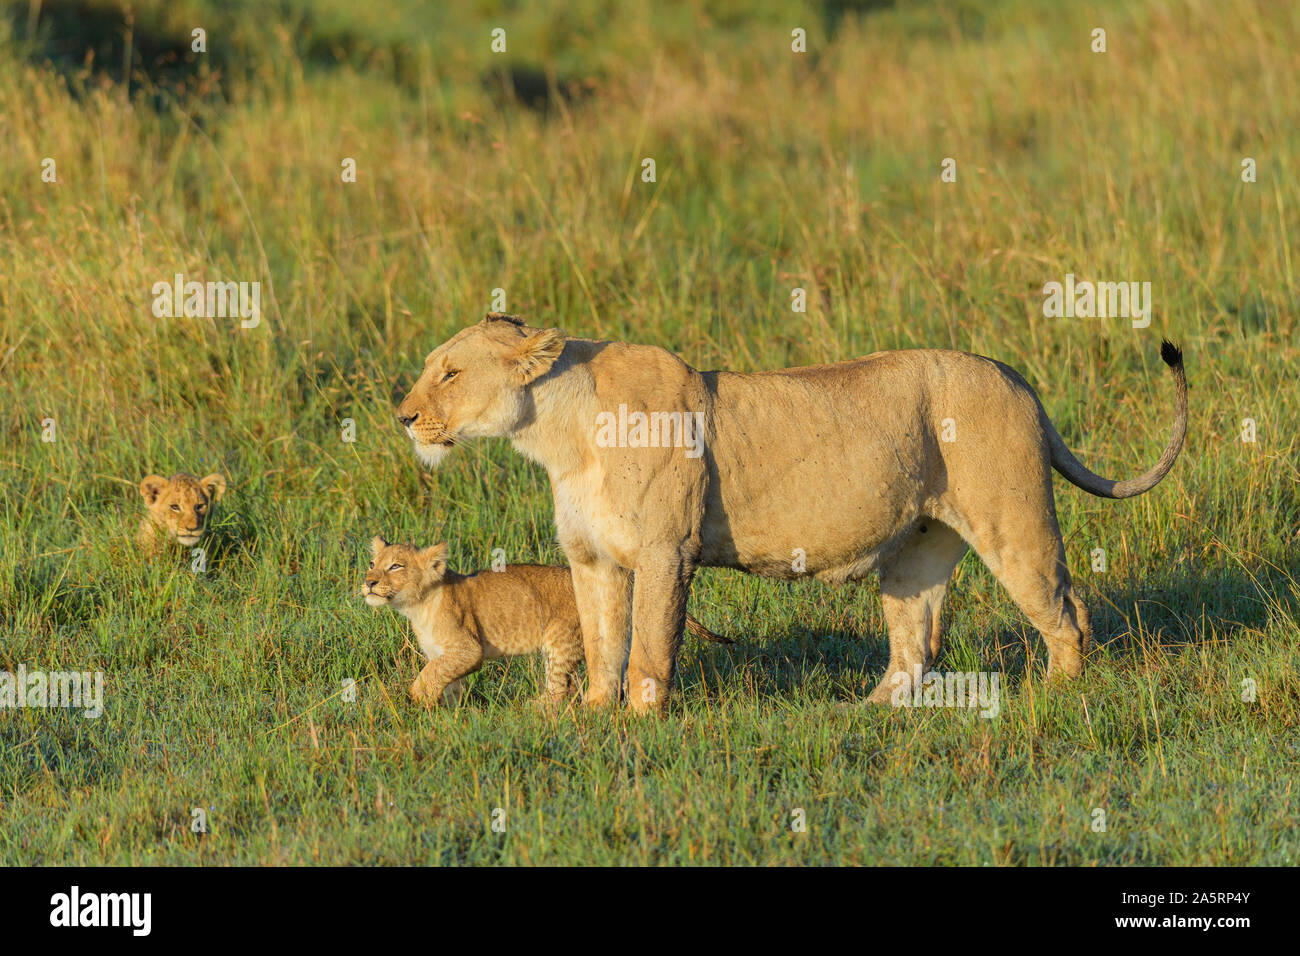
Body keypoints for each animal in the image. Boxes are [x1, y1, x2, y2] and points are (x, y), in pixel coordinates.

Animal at [361, 535, 730, 706]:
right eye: (372, 562)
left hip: (560, 638)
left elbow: (430, 674)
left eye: (395, 566)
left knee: (560, 689)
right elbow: (445, 678)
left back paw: (534, 710)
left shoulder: (467, 649)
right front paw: (446, 712)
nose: (368, 582)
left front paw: (416, 698)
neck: (416, 607)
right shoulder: (445, 654)